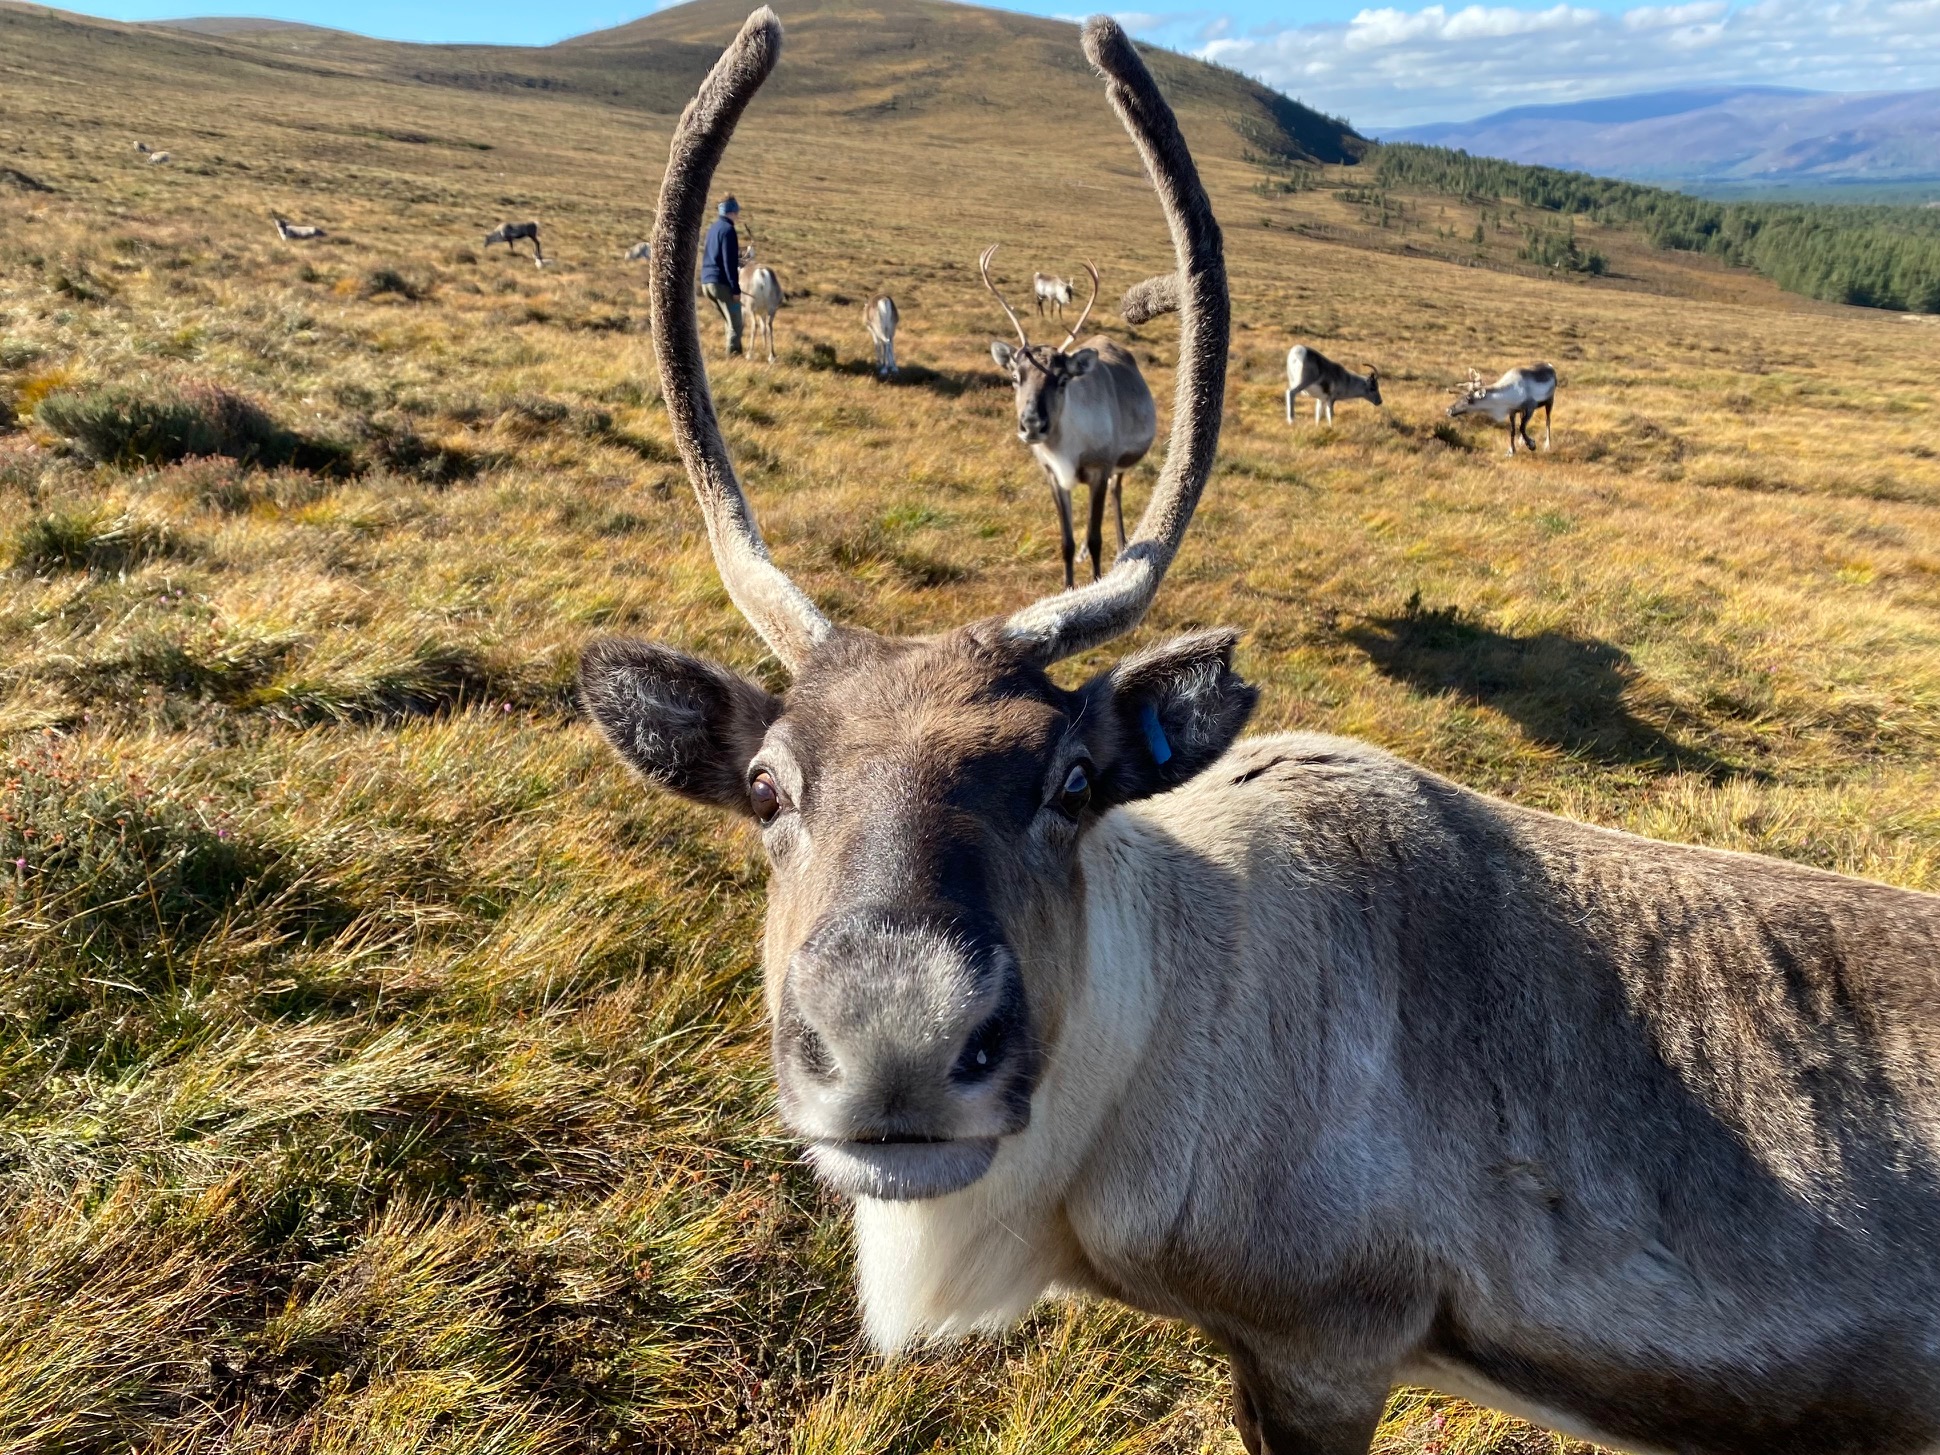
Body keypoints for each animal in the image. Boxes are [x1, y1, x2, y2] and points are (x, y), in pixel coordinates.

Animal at [984, 252, 1155, 590]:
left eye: (1062, 380)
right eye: (1014, 377)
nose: (1032, 425)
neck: (1066, 447)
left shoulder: (1100, 469)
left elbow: (1095, 537)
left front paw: (1096, 582)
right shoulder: (1052, 474)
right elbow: (1067, 541)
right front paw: (1067, 587)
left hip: (1119, 465)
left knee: (1116, 494)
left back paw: (1122, 544)